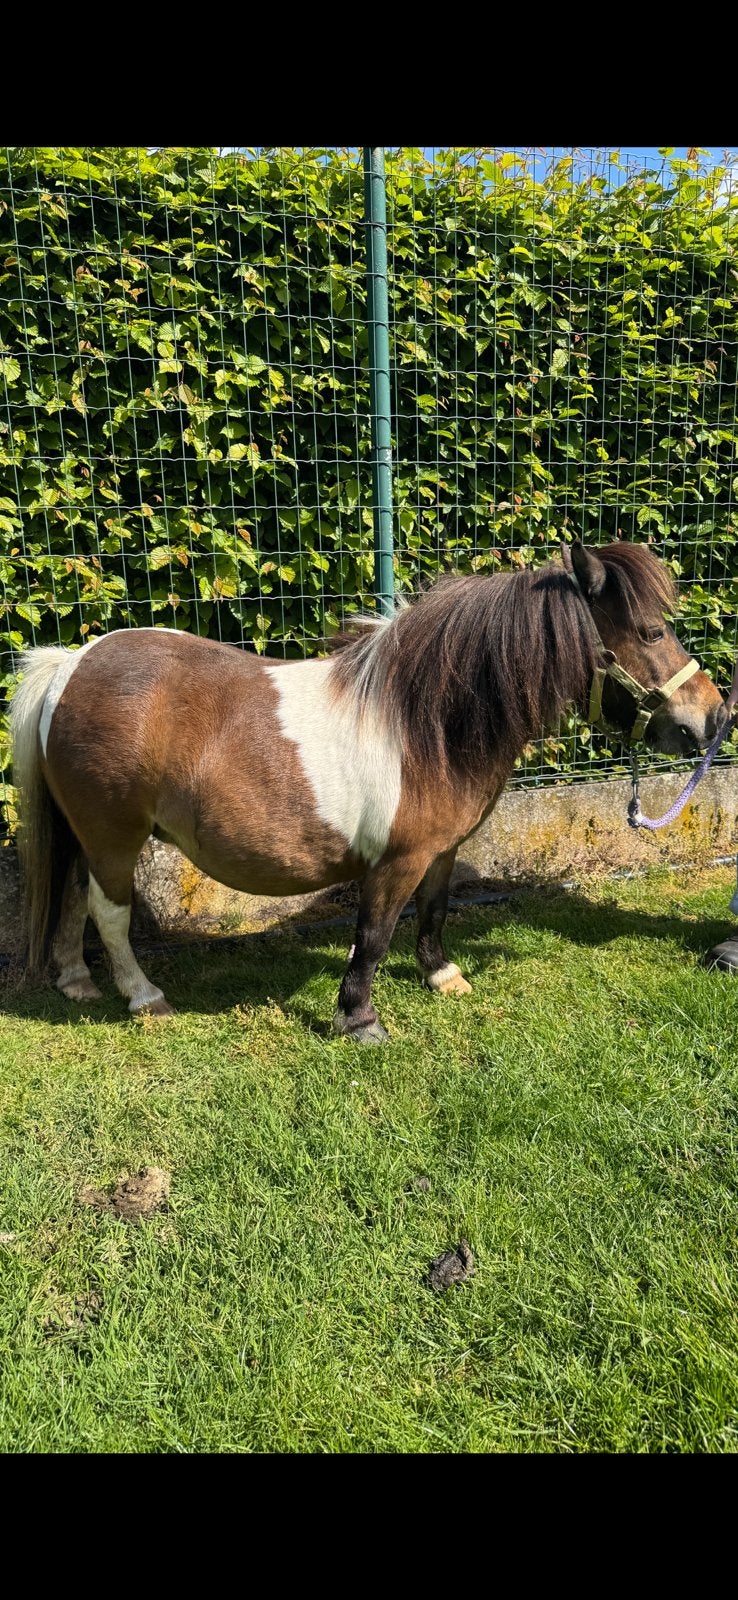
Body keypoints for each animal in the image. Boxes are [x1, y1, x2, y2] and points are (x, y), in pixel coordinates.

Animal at [9, 539, 727, 1043]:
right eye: (651, 632)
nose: (714, 717)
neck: (427, 723)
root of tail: (69, 665)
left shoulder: (440, 851)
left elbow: (434, 912)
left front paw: (442, 975)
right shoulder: (396, 861)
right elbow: (375, 935)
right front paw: (360, 1020)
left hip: (87, 836)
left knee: (72, 899)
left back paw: (77, 983)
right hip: (114, 835)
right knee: (108, 914)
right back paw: (144, 996)